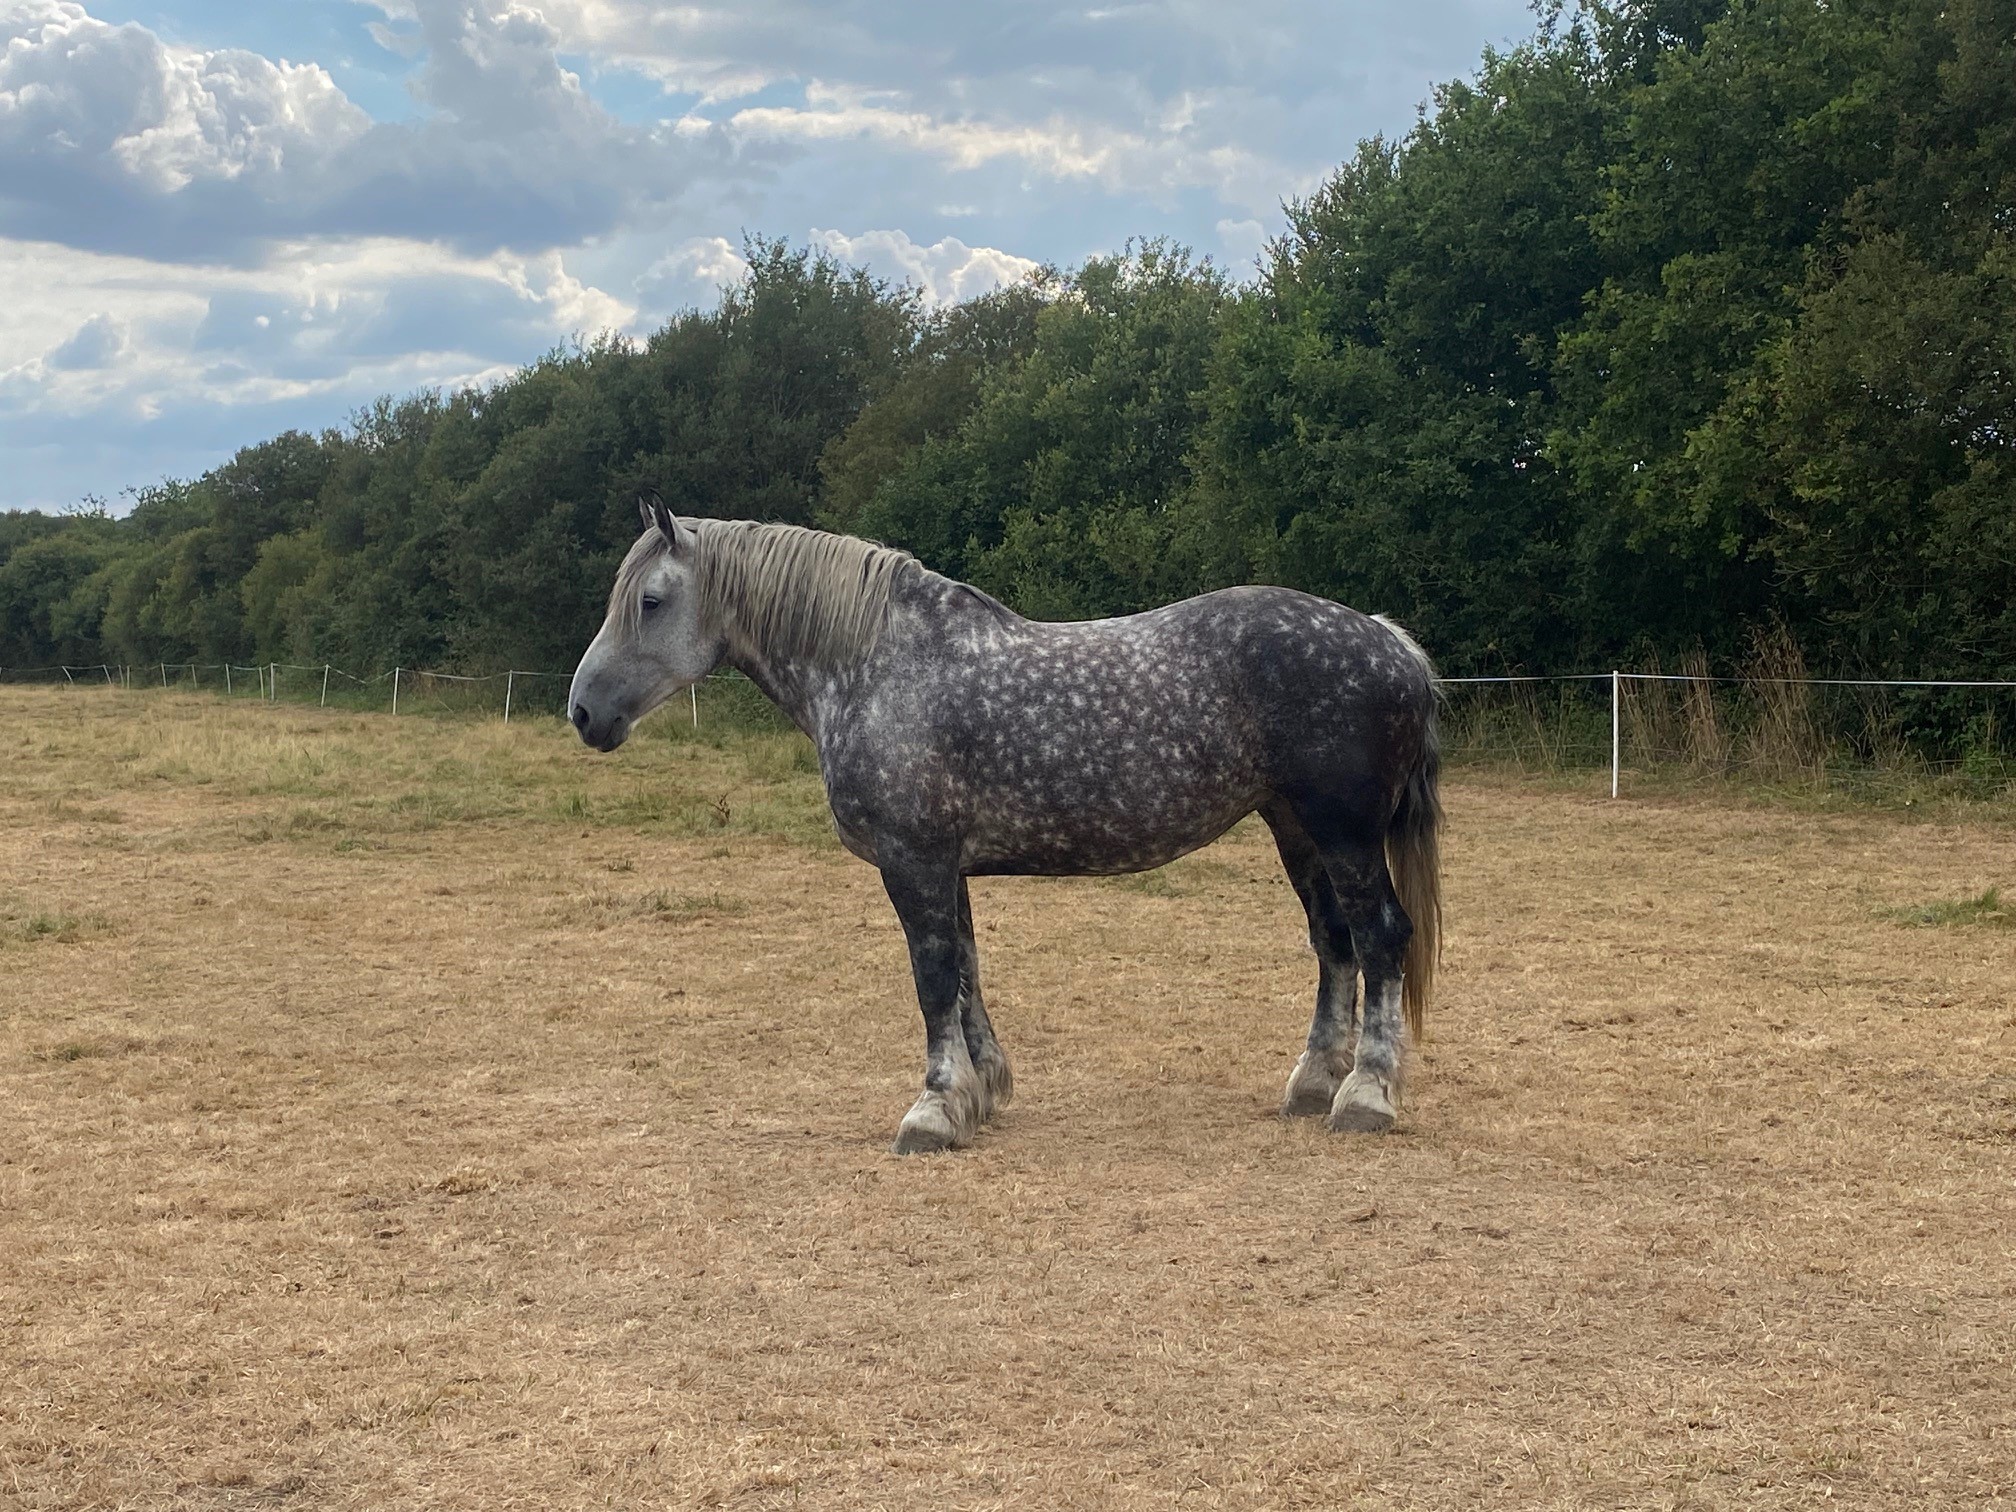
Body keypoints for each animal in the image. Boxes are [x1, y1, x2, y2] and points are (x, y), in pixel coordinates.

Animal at [568, 492, 1443, 1154]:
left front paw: (932, 1110)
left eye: (650, 601)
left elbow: (931, 979)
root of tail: (1389, 639)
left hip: (1345, 834)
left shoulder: (913, 860)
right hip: (1296, 828)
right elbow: (964, 972)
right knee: (1333, 942)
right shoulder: (944, 865)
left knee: (1380, 938)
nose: (583, 713)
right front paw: (980, 1092)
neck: (875, 666)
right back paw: (1315, 1080)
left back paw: (1366, 1094)